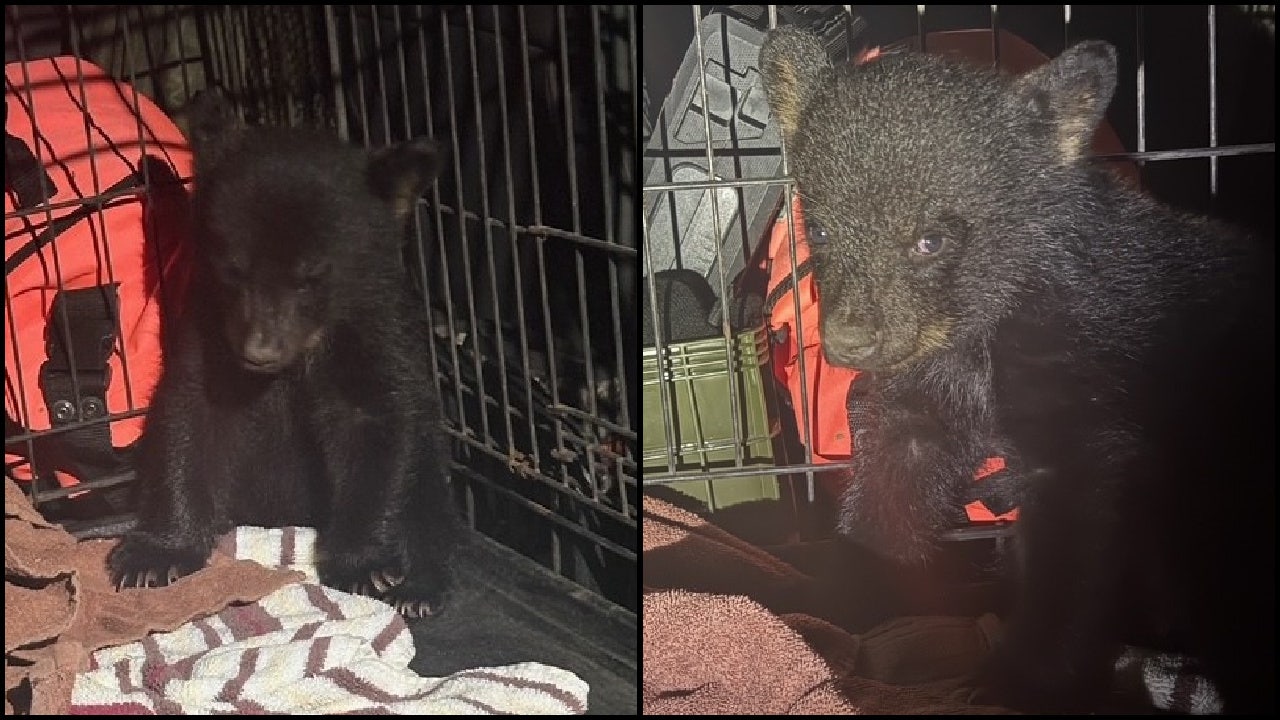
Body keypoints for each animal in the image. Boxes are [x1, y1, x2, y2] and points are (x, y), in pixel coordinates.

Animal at [107, 89, 463, 618]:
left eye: (310, 276)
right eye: (233, 269)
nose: (259, 350)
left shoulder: (377, 336)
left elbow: (375, 433)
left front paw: (364, 566)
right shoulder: (206, 332)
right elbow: (188, 422)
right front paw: (157, 553)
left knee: (428, 503)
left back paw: (418, 587)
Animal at [760, 28, 1274, 712]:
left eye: (931, 239)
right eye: (817, 228)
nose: (848, 340)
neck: (982, 331)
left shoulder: (1080, 377)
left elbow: (1074, 541)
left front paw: (1023, 679)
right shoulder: (926, 390)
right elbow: (896, 478)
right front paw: (841, 593)